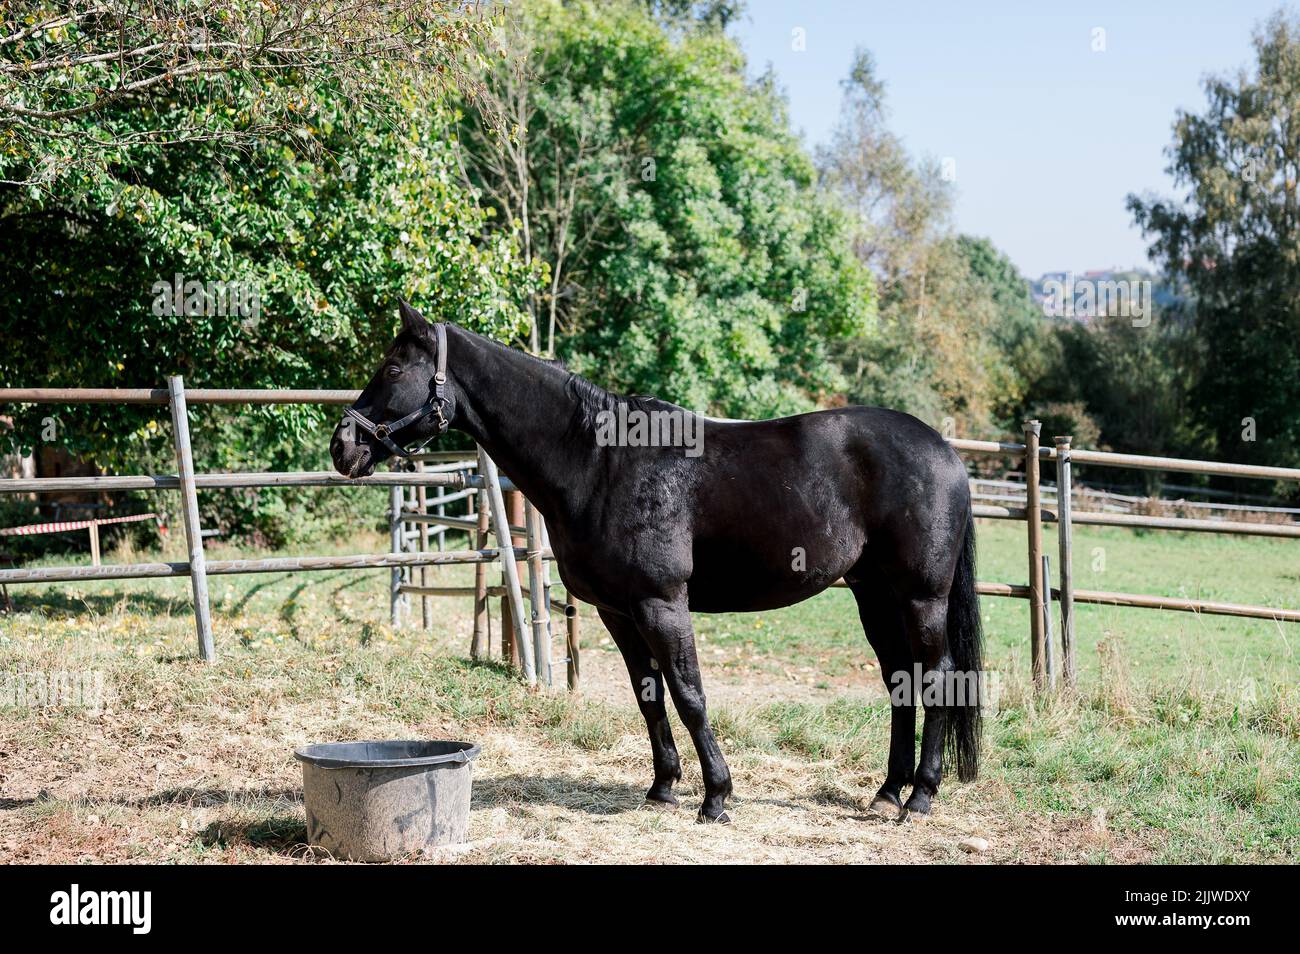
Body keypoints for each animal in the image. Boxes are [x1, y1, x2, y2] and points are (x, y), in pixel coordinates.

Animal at [330, 301, 983, 824]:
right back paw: (887, 790)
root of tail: (945, 452)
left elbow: (688, 693)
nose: (343, 446)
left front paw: (716, 797)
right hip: (873, 592)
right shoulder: (619, 612)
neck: (600, 462)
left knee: (938, 676)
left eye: (393, 370)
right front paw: (663, 787)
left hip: (920, 595)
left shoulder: (661, 603)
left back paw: (920, 796)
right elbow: (648, 695)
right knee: (899, 678)